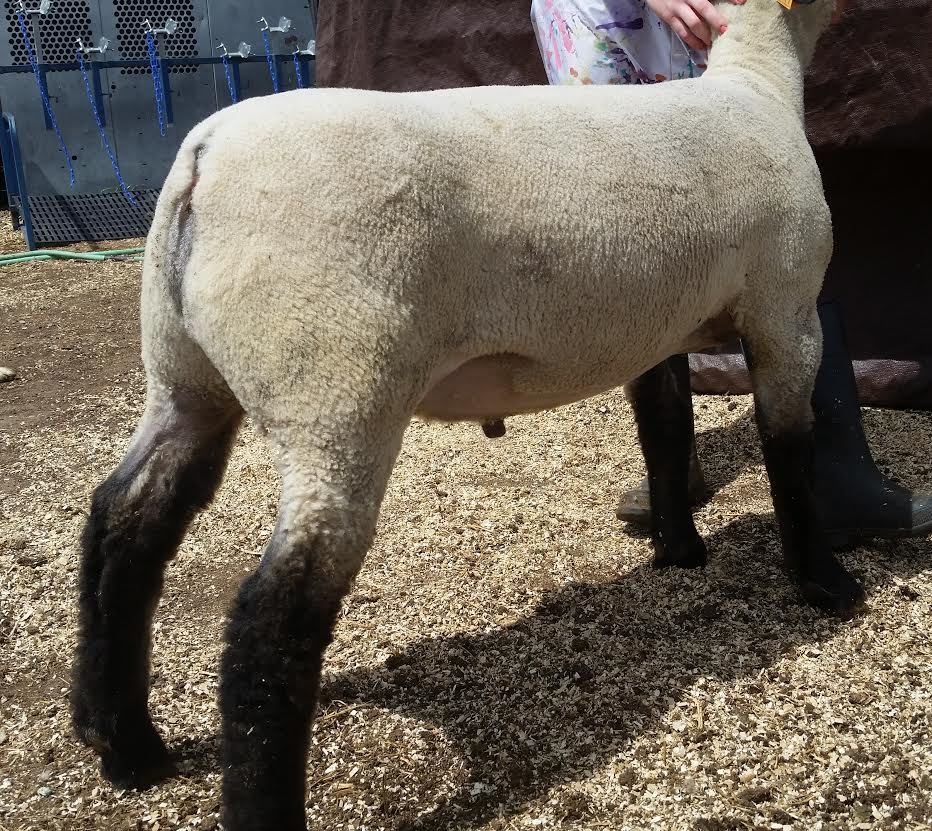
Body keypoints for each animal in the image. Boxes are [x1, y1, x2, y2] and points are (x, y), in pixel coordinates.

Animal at [71, 2, 858, 828]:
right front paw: (824, 584)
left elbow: (665, 430)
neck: (757, 83)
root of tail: (204, 155)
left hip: (184, 376)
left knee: (125, 521)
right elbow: (788, 451)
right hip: (336, 386)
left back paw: (124, 743)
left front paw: (679, 549)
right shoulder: (787, 311)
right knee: (273, 615)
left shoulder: (660, 328)